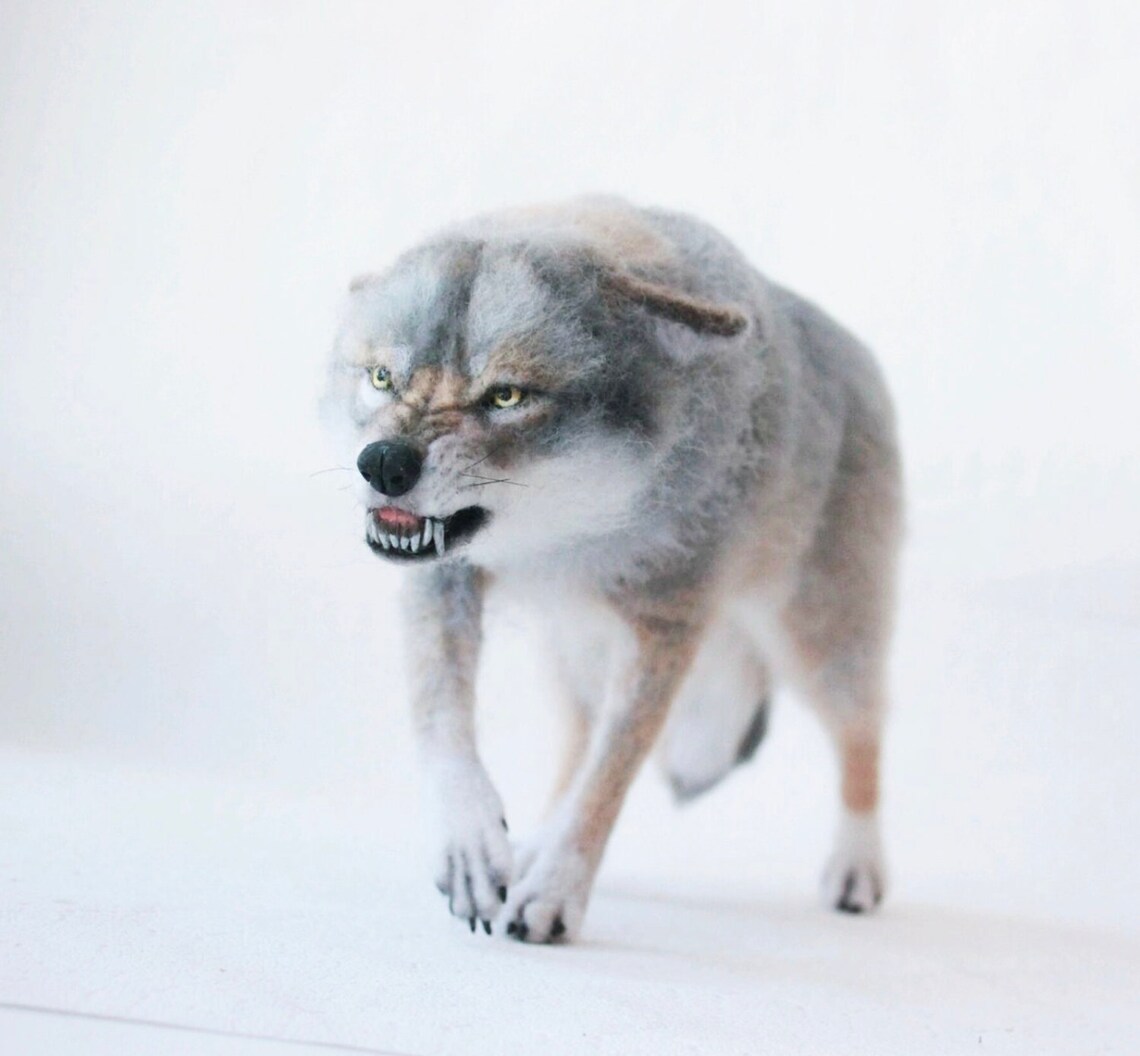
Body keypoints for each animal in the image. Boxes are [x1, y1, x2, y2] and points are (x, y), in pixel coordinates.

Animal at [322, 197, 902, 943]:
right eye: (382, 378)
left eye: (506, 397)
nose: (383, 463)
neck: (562, 544)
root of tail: (857, 356)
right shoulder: (443, 582)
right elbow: (442, 722)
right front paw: (471, 845)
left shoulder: (665, 630)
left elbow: (610, 777)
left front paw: (557, 891)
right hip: (578, 653)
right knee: (576, 742)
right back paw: (530, 848)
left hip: (815, 641)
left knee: (862, 735)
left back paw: (858, 866)